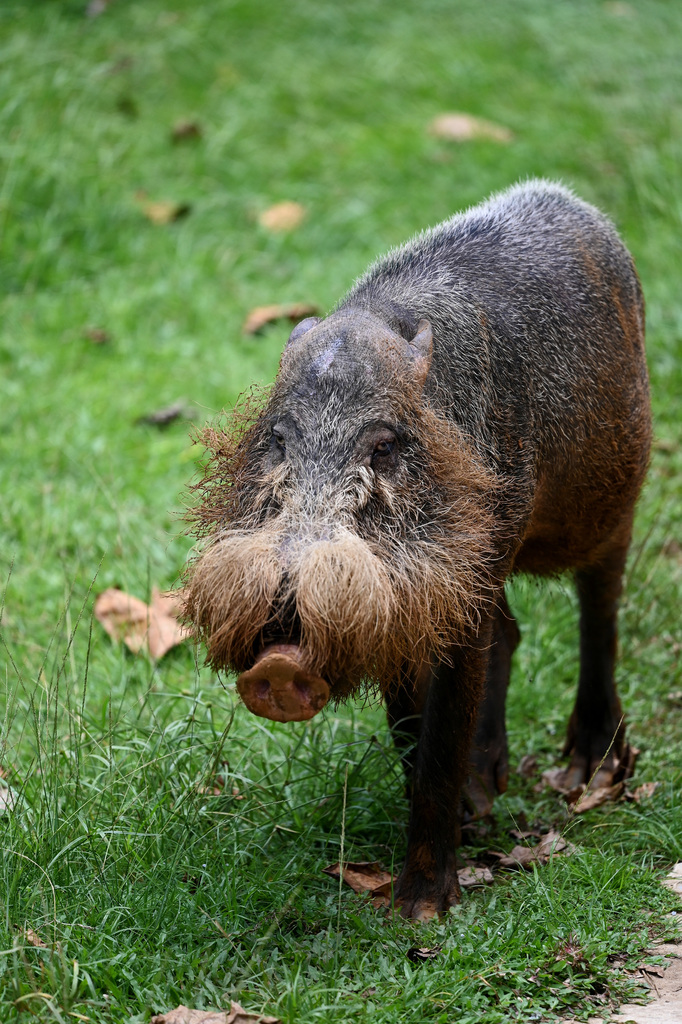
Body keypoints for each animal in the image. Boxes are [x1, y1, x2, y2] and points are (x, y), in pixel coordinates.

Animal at [183, 180, 651, 920]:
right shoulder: (400, 600)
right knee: (512, 633)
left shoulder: (450, 589)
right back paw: (492, 789)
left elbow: (440, 736)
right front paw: (469, 820)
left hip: (613, 491)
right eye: (277, 441)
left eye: (382, 445)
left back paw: (587, 772)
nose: (276, 669)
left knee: (600, 607)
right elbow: (410, 725)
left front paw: (422, 909)